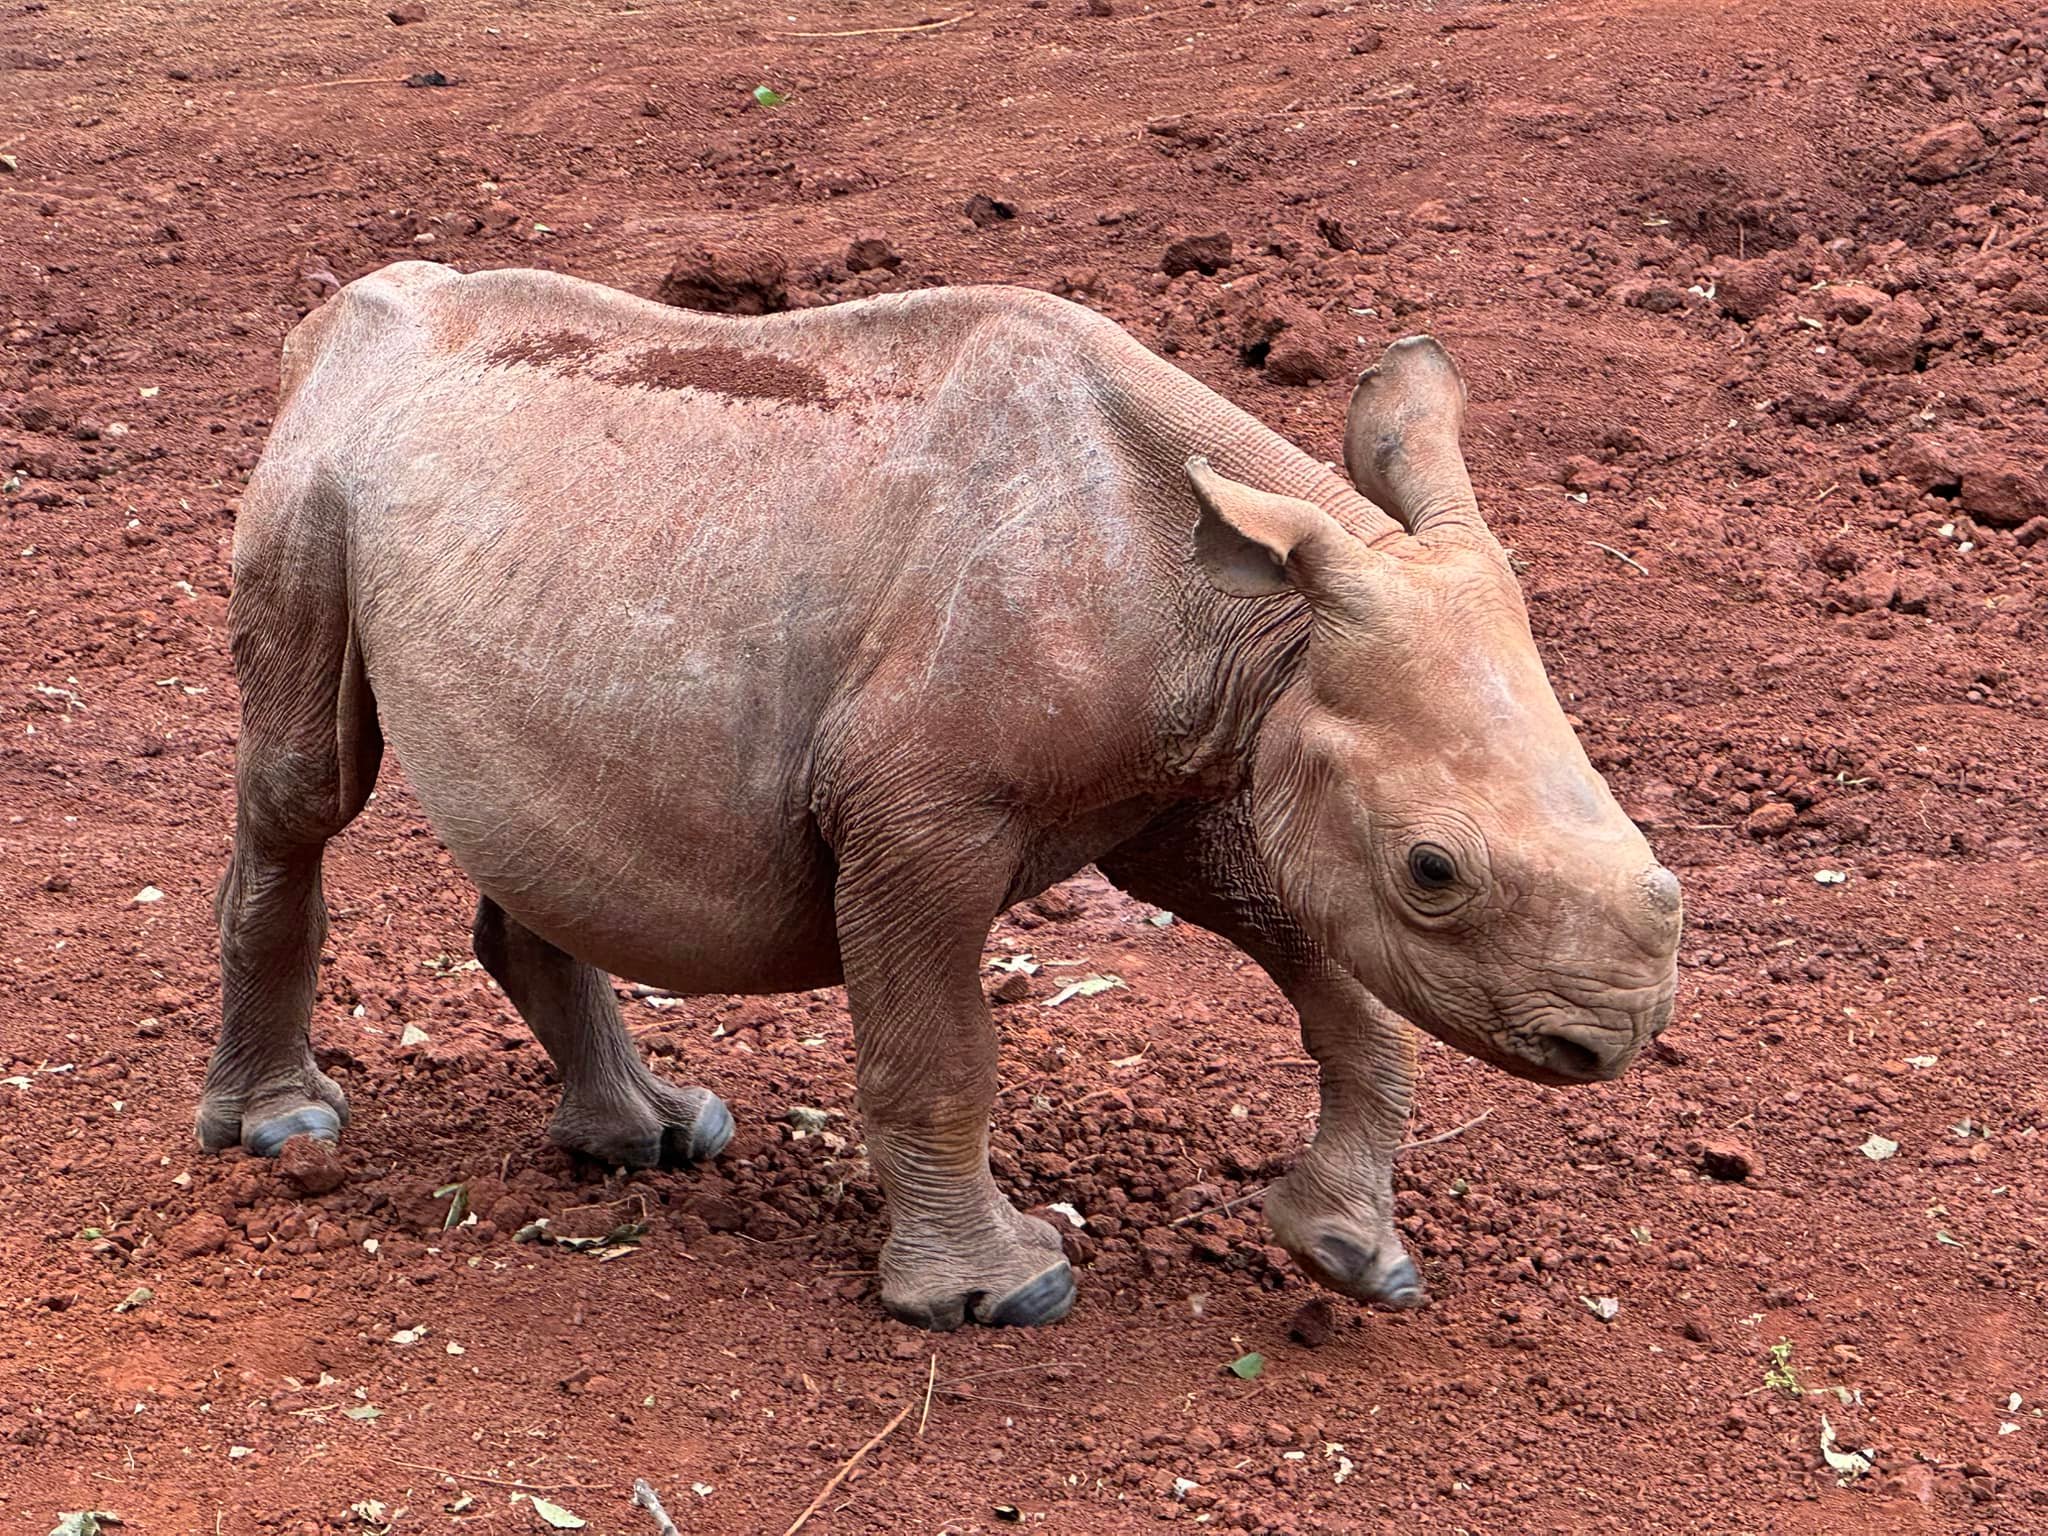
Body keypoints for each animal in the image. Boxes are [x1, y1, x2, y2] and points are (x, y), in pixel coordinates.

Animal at [202, 261, 1681, 1329]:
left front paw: (1353, 1257)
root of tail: (325, 329)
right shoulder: (918, 816)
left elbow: (1336, 978)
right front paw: (999, 1293)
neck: (1250, 626)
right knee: (306, 793)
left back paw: (656, 1138)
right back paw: (284, 1131)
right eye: (1434, 872)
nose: (1613, 1040)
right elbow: (941, 1052)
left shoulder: (1199, 779)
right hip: (314, 486)